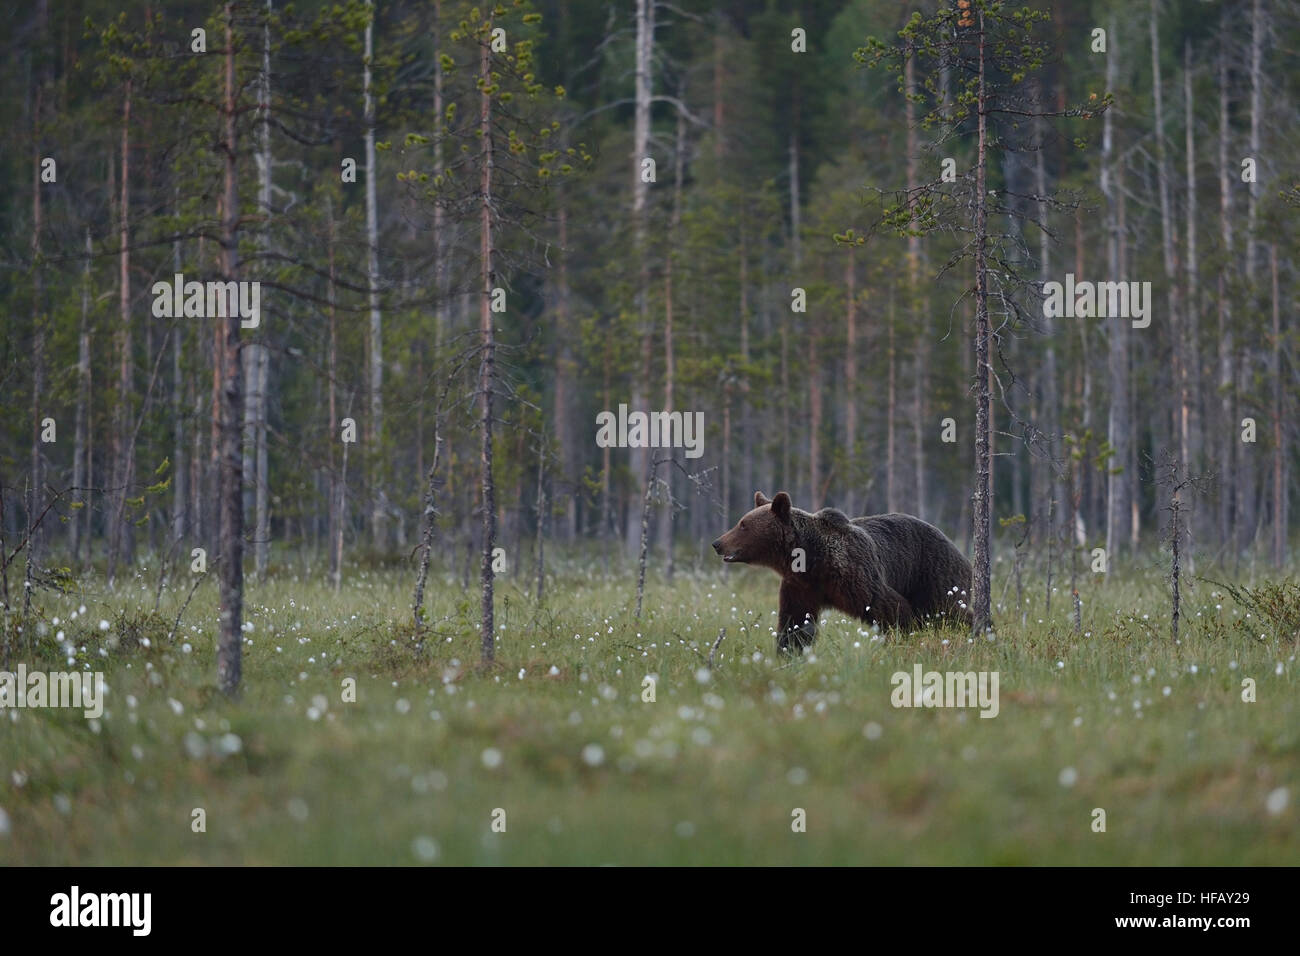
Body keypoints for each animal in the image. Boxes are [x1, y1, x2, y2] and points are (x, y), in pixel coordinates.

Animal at [711, 491, 973, 652]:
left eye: (743, 525)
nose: (717, 543)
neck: (810, 560)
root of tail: (960, 551)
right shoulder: (801, 586)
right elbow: (795, 622)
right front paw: (788, 652)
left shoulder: (853, 572)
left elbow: (889, 605)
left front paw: (902, 637)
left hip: (931, 572)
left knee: (946, 609)